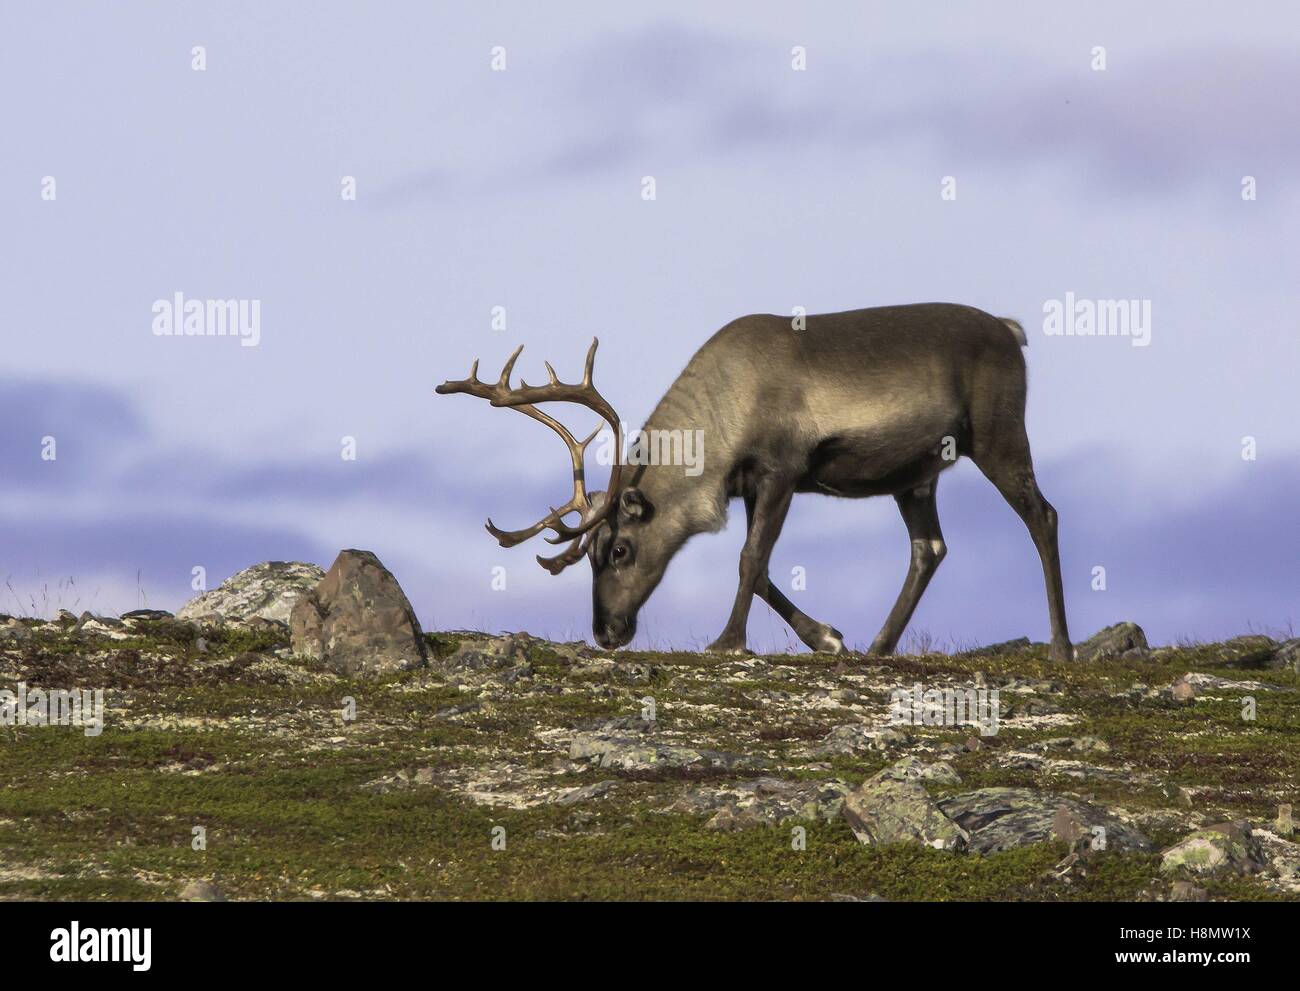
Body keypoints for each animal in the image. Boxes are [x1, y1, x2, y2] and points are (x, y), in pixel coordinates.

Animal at [436, 303, 1072, 663]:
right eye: (588, 554)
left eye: (619, 549)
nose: (607, 633)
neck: (722, 415)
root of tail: (1011, 332)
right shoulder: (747, 486)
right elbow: (761, 569)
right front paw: (829, 638)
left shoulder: (780, 470)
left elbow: (749, 560)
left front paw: (727, 641)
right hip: (914, 475)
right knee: (929, 549)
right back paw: (880, 645)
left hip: (998, 435)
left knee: (1043, 516)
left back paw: (1062, 647)